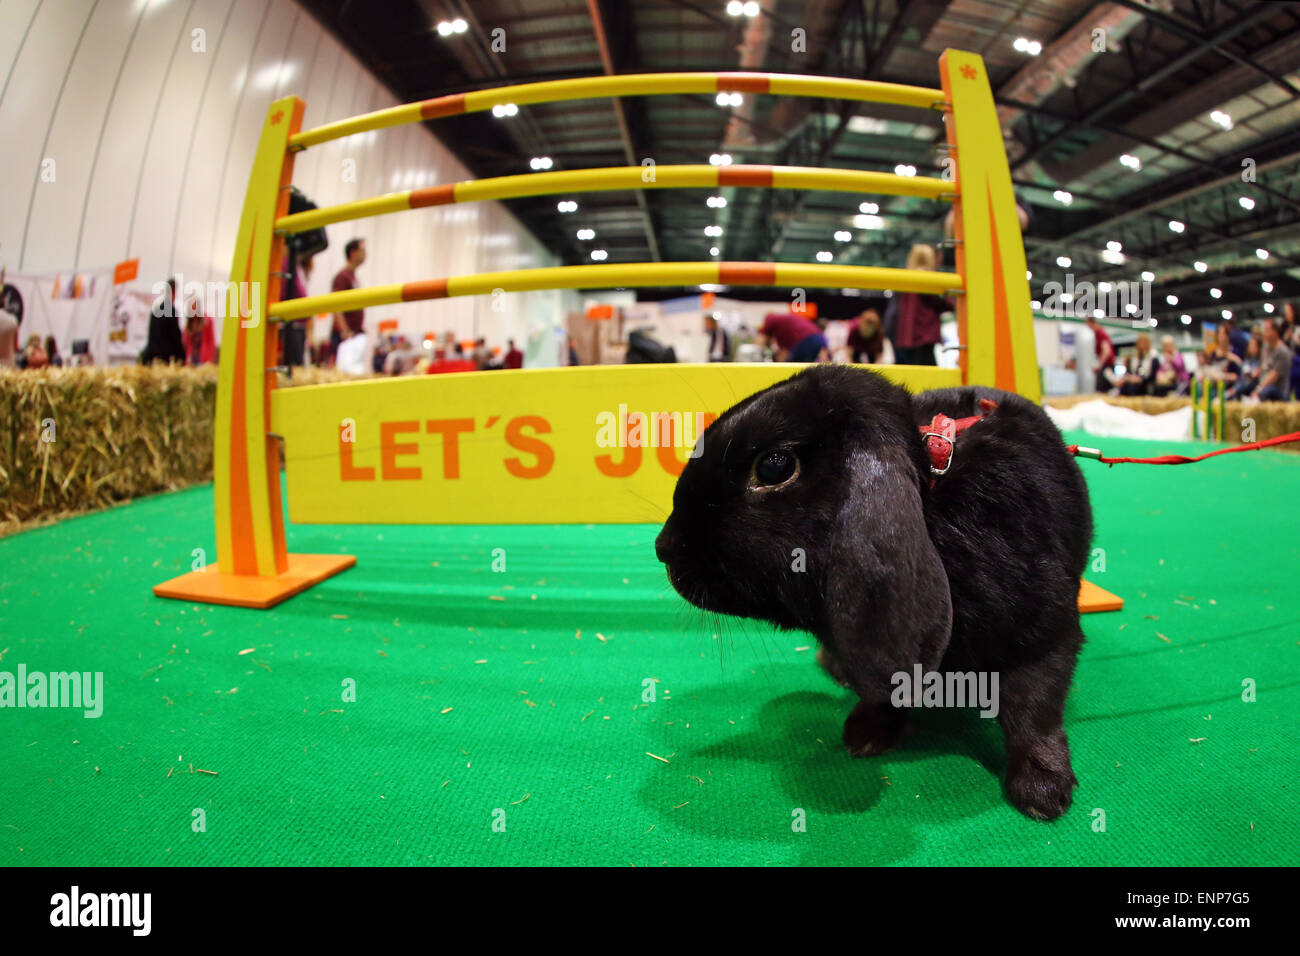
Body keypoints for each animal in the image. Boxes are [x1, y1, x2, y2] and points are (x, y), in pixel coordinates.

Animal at [655, 364, 1092, 821]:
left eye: (774, 467)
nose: (664, 547)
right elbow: (888, 692)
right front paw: (864, 735)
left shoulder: (1044, 638)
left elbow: (1034, 714)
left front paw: (1042, 792)